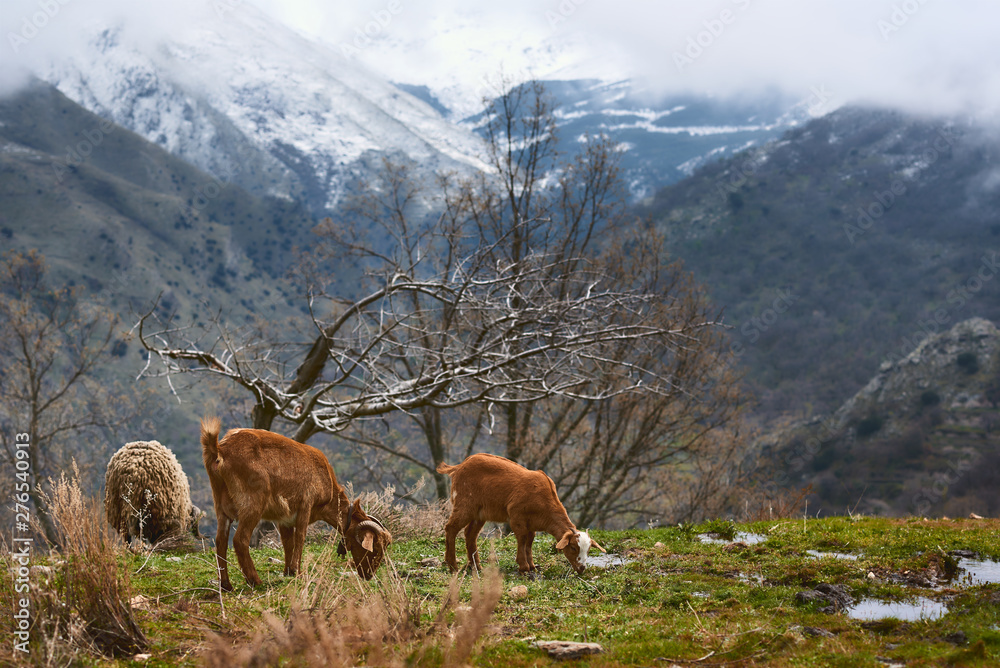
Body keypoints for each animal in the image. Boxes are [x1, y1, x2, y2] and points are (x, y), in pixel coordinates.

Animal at [200, 417, 391, 589]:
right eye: (376, 548)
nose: (368, 575)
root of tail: (220, 449)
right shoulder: (306, 504)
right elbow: (300, 537)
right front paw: (297, 572)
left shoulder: (284, 518)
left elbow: (288, 542)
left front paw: (288, 572)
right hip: (252, 504)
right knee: (240, 540)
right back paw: (255, 580)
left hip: (221, 506)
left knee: (220, 541)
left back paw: (226, 585)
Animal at [437, 453, 605, 576]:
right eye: (573, 548)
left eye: (588, 550)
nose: (582, 568)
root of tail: (459, 466)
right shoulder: (516, 515)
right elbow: (522, 538)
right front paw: (523, 566)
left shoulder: (532, 523)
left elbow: (529, 542)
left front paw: (532, 566)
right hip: (464, 503)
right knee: (451, 528)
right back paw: (453, 566)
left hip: (480, 513)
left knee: (470, 534)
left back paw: (476, 567)